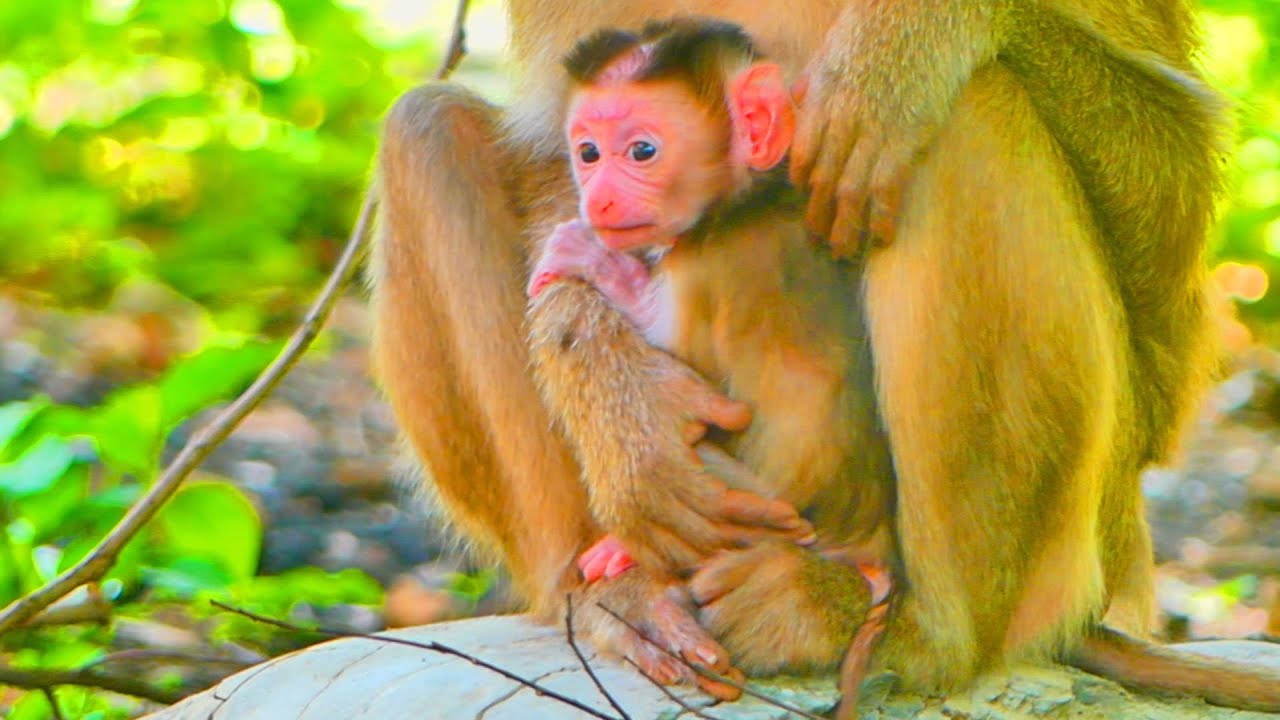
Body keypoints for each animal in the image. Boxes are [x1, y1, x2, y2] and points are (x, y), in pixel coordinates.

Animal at [368, 0, 1280, 713]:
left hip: (1085, 530)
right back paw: (610, 594)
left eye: (646, 151)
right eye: (602, 151)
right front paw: (614, 396)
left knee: (970, 109)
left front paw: (912, 37)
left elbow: (1174, 171)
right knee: (426, 131)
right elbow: (552, 150)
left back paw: (915, 633)